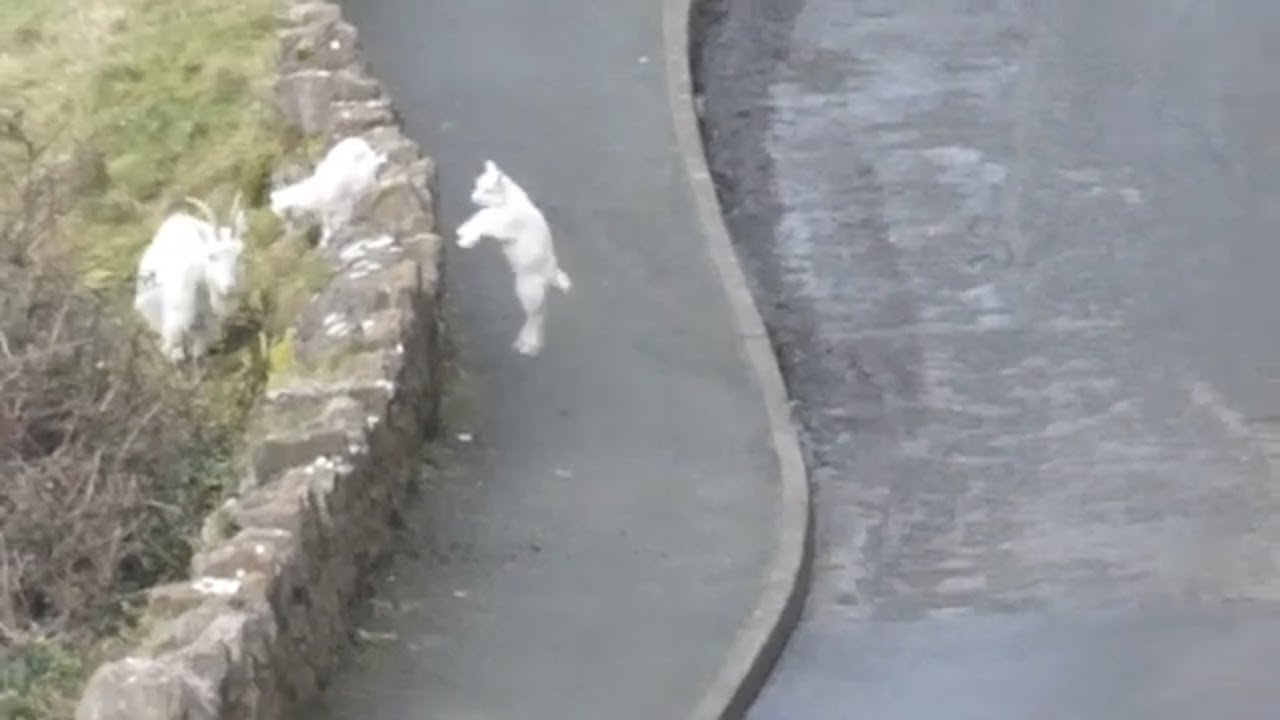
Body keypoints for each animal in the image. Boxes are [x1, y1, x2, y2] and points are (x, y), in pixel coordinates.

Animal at [134, 194, 247, 362]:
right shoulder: (177, 309)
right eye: (211, 255)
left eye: (239, 255)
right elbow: (175, 334)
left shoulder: (208, 315)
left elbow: (202, 336)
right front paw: (176, 355)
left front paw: (199, 353)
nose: (229, 287)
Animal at [456, 160, 572, 356]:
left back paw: (528, 344)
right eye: (477, 186)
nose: (474, 197)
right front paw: (464, 232)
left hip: (528, 290)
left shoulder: (503, 224)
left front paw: (466, 238)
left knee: (536, 316)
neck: (508, 201)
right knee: (540, 313)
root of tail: (551, 276)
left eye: (487, 190)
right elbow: (479, 218)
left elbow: (482, 220)